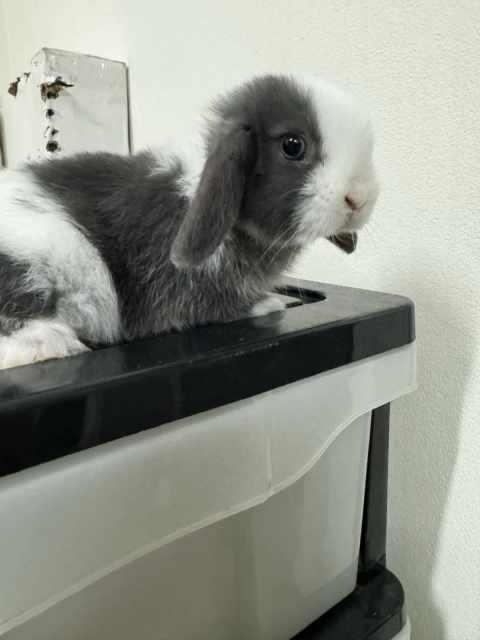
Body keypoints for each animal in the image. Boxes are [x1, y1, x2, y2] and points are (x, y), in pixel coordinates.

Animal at [0, 74, 379, 370]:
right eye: (293, 145)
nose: (359, 199)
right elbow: (215, 308)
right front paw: (271, 303)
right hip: (48, 251)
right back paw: (50, 344)